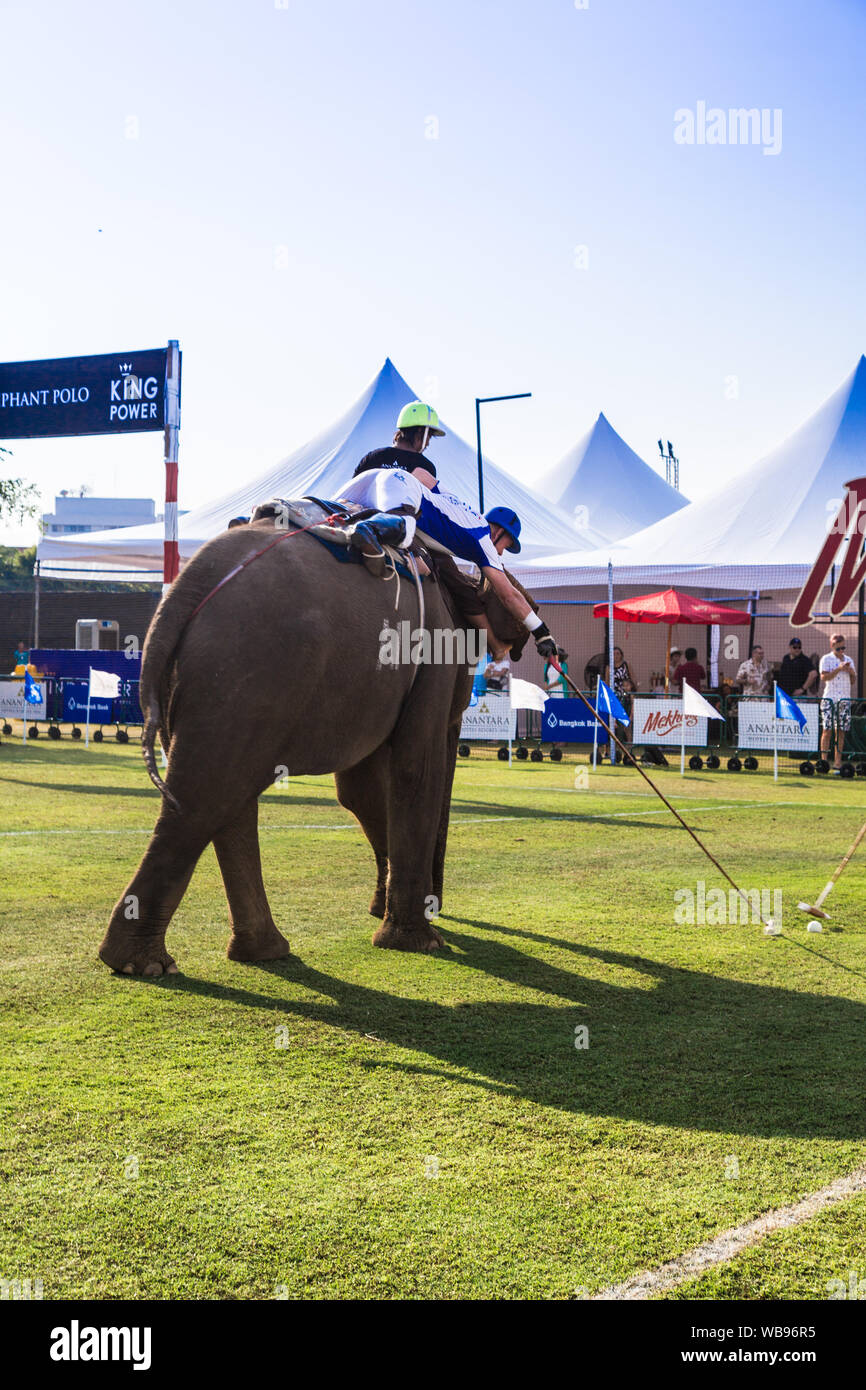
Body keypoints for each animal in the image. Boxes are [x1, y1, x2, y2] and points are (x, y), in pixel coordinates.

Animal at [98, 517, 475, 976]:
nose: (440, 905)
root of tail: (188, 583)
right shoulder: (430, 654)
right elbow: (415, 770)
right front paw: (421, 943)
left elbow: (361, 789)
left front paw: (384, 913)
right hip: (250, 670)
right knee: (205, 801)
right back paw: (146, 965)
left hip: (203, 681)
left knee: (220, 797)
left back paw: (256, 952)